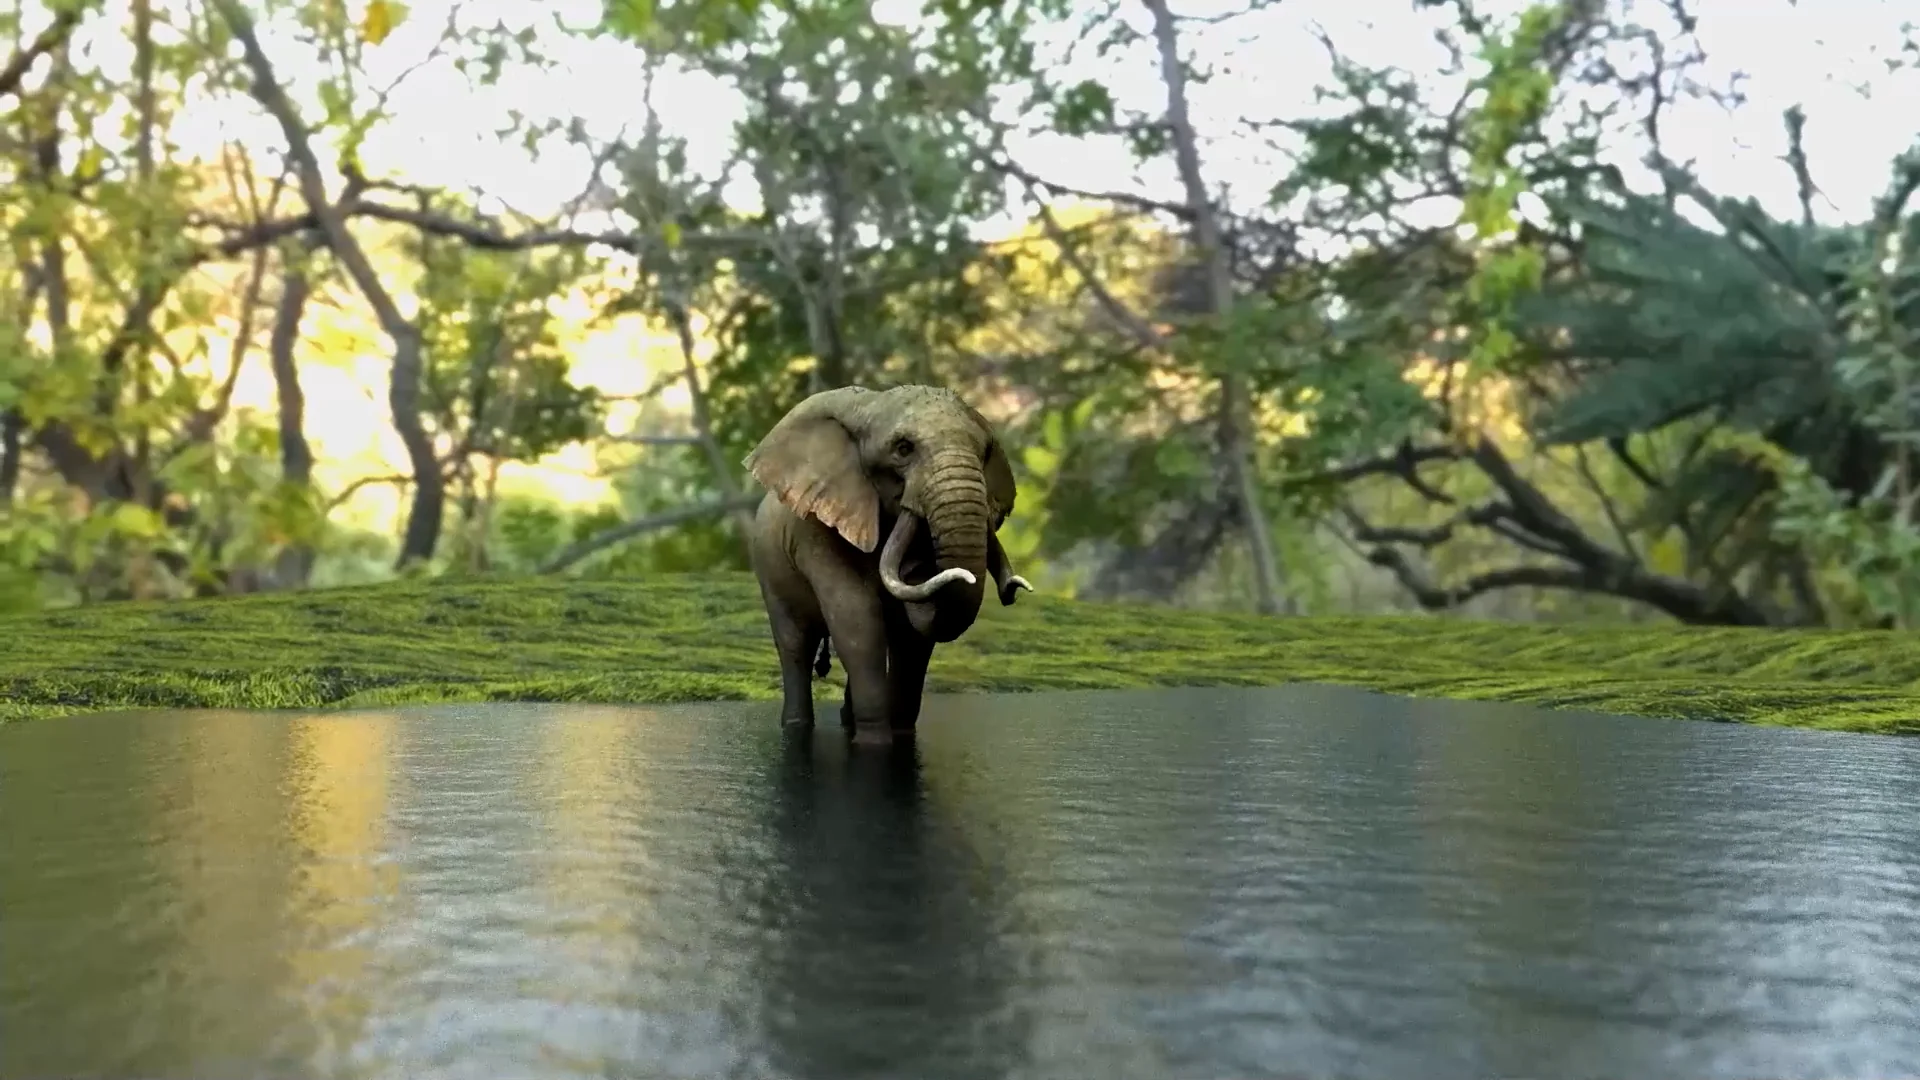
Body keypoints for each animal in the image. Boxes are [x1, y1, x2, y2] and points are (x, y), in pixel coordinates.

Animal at [744, 384, 1033, 746]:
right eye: (903, 449)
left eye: (985, 452)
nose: (1010, 591)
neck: (871, 407)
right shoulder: (815, 531)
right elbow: (858, 622)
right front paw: (875, 744)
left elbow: (912, 637)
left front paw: (901, 735)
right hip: (769, 569)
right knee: (795, 645)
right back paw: (798, 725)